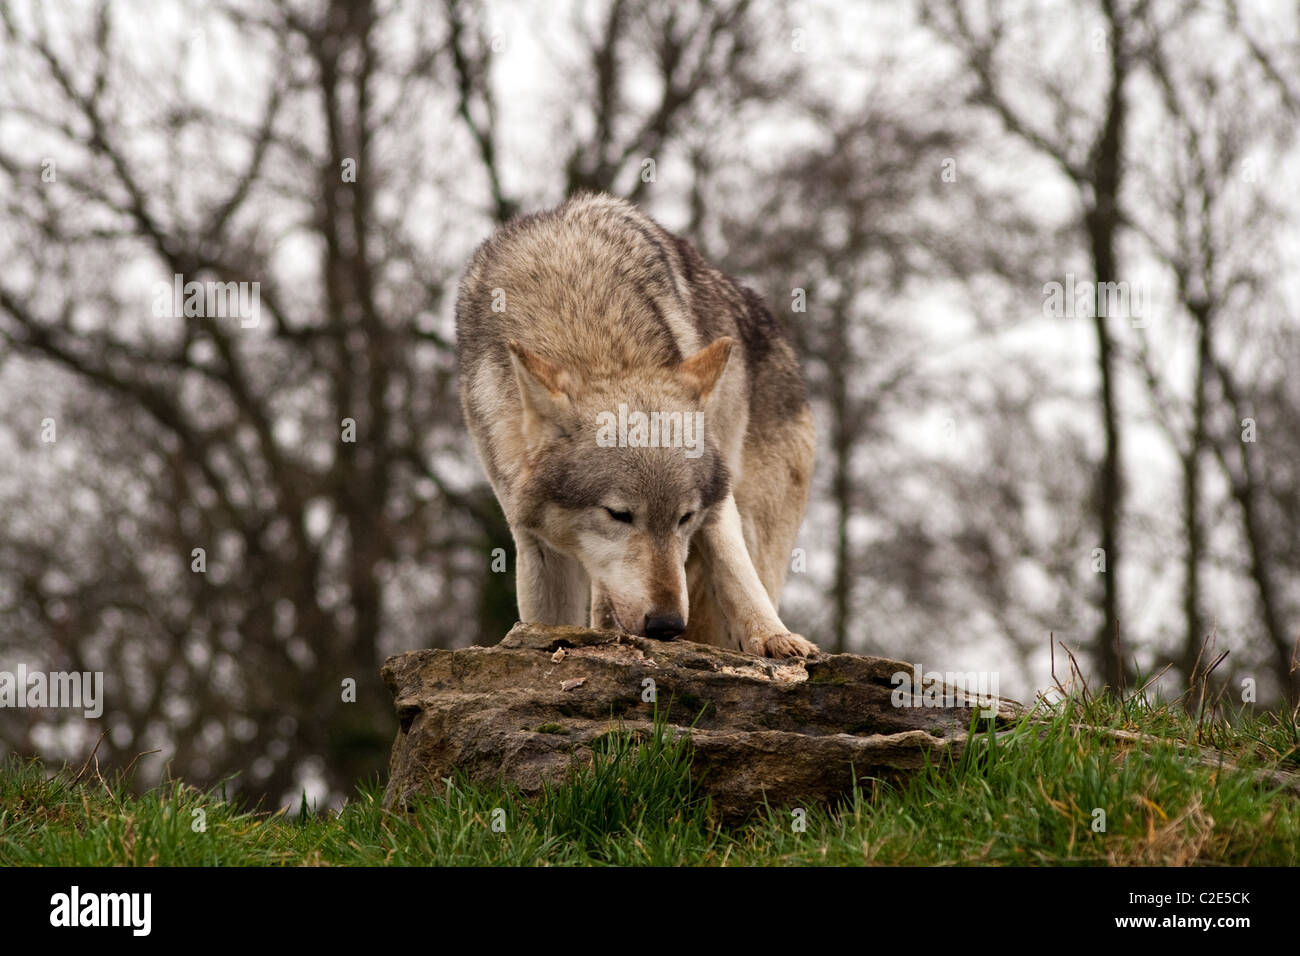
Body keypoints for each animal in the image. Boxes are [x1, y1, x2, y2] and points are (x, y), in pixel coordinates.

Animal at [456, 193, 817, 658]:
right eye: (619, 514)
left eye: (685, 518)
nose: (667, 626)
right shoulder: (534, 542)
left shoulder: (717, 503)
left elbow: (735, 568)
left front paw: (775, 638)